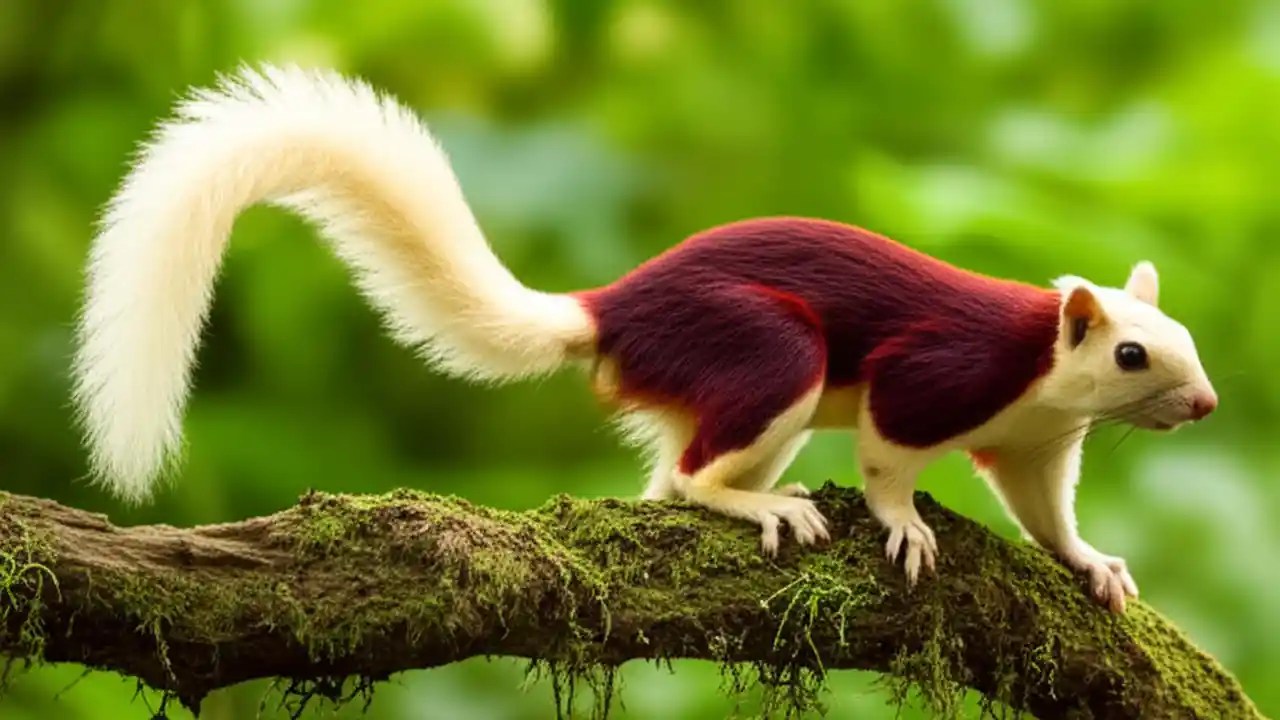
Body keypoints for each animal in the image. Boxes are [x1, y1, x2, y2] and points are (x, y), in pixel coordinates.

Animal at [72, 65, 1218, 614]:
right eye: (1130, 354)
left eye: (1186, 339)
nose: (1205, 404)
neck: (1043, 384)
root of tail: (608, 308)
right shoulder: (937, 374)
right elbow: (892, 456)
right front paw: (904, 528)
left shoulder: (1036, 447)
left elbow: (1045, 514)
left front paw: (1095, 566)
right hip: (772, 355)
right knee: (695, 477)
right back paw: (766, 507)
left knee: (666, 482)